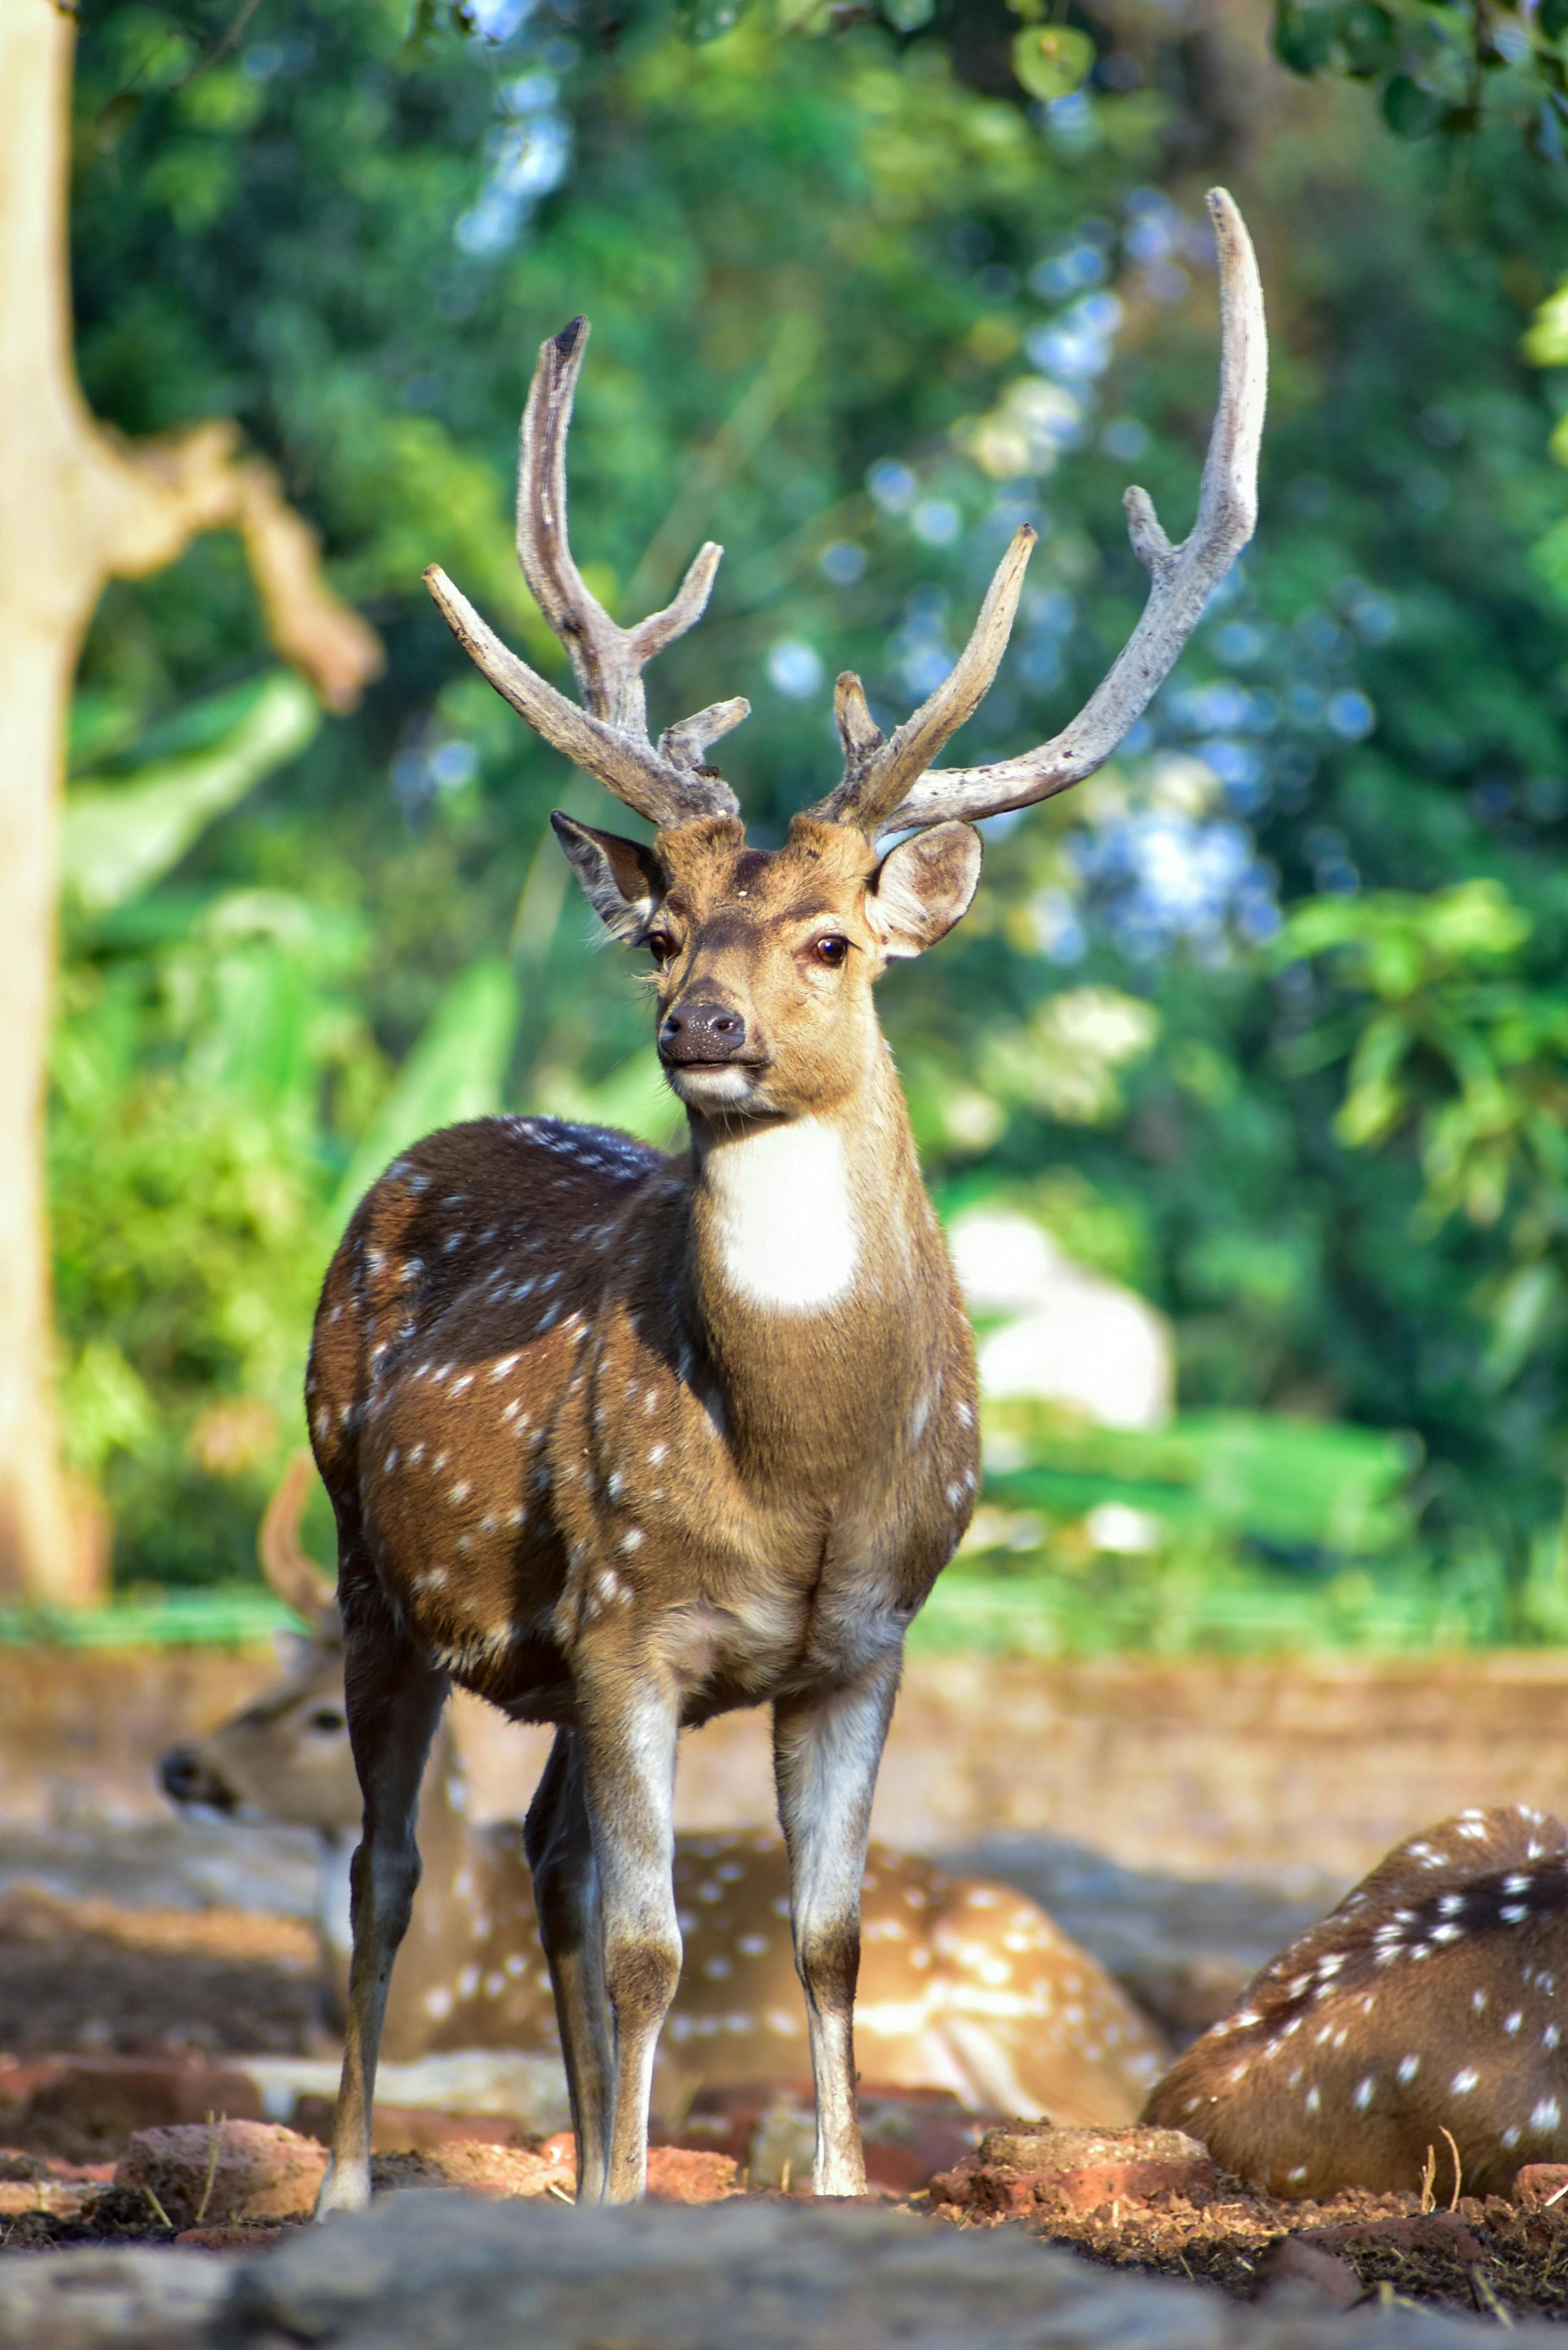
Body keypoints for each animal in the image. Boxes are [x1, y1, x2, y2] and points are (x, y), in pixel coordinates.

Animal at [160, 1457, 1167, 2127]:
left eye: (320, 1717)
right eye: (260, 1688)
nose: (181, 1766)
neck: (453, 1974)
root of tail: (1138, 2033)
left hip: (1030, 2014)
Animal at [306, 185, 1265, 2217]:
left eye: (831, 934)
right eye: (666, 925)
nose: (702, 1026)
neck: (801, 1465)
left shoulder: (868, 1636)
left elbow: (827, 1936)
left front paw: (813, 2187)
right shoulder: (627, 1613)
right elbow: (659, 1938)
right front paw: (624, 2187)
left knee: (544, 1854)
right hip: (365, 1549)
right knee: (393, 1863)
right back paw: (352, 2181)